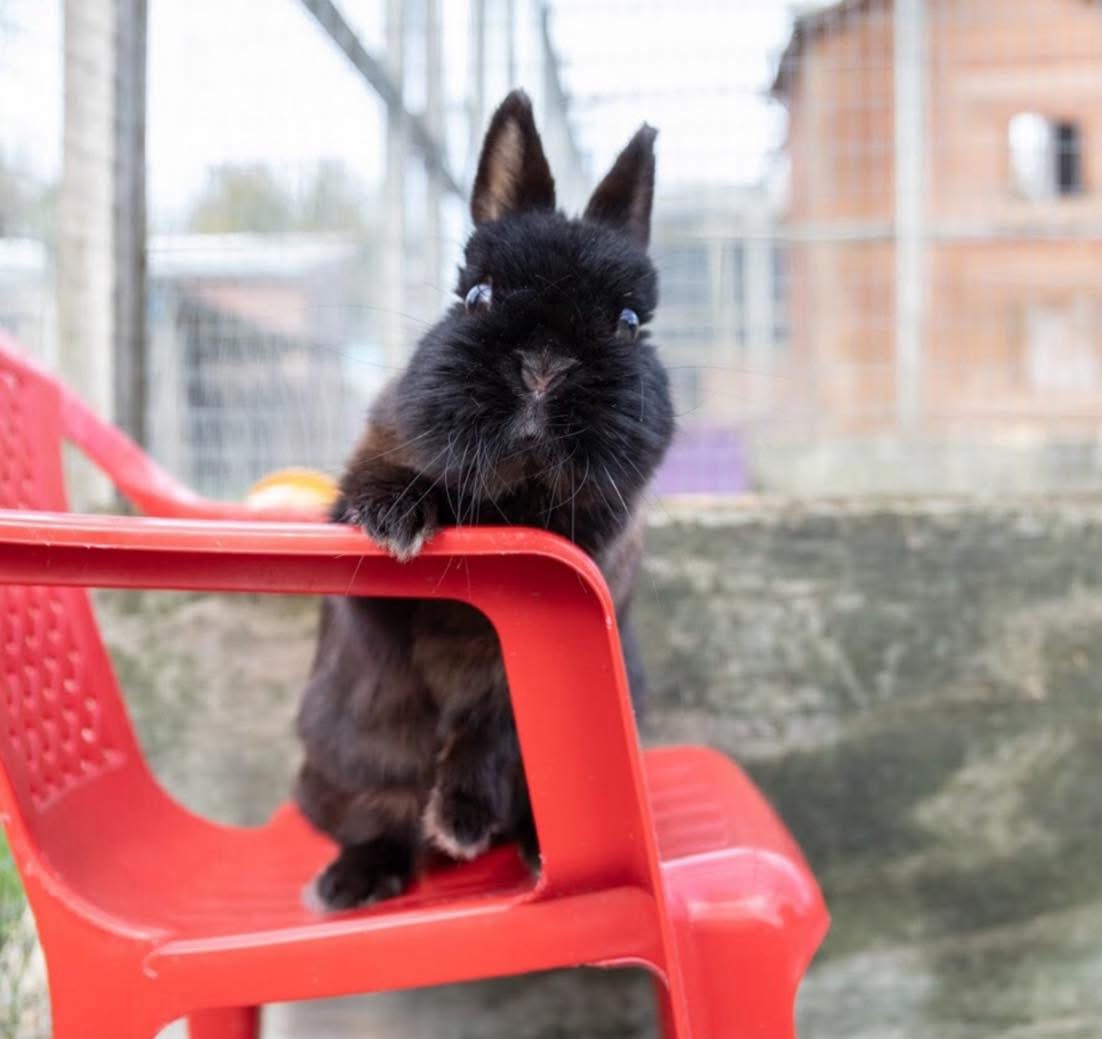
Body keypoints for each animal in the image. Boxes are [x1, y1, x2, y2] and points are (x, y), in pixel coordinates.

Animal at [295, 89, 674, 910]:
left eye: (630, 323)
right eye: (476, 295)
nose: (545, 365)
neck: (511, 505)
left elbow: (491, 729)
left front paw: (462, 819)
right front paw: (398, 518)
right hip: (351, 762)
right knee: (382, 817)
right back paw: (354, 879)